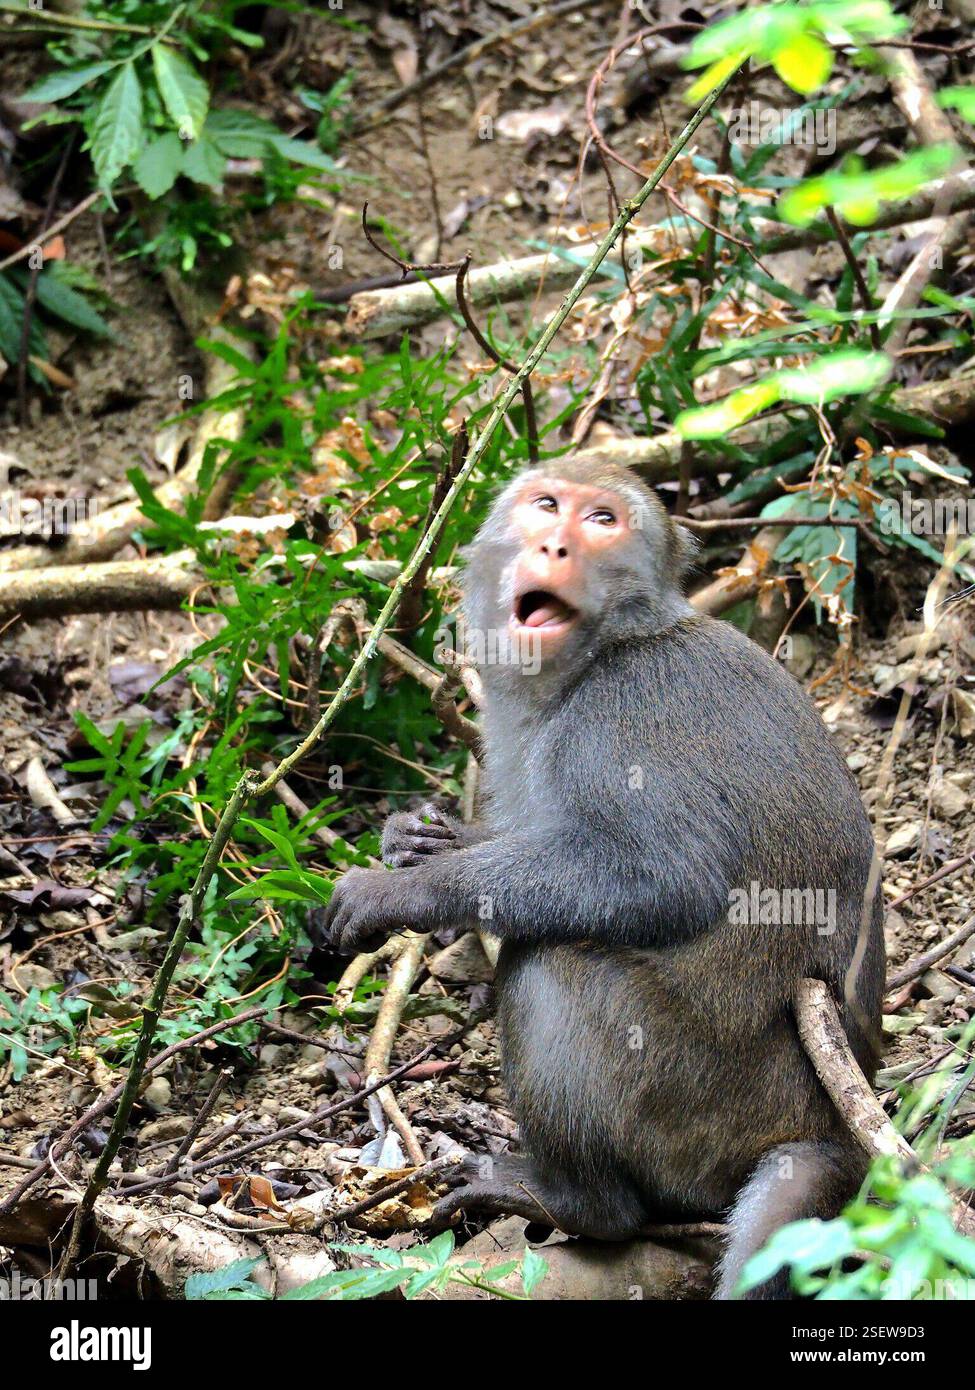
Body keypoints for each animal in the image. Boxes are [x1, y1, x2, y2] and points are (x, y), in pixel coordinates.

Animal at [317, 457, 886, 1300]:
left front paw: (400, 893)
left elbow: (666, 880)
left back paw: (576, 1203)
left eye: (601, 521)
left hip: (694, 1108)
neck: (597, 656)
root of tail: (829, 1124)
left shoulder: (621, 718)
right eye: (546, 504)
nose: (554, 544)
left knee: (554, 962)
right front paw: (424, 840)